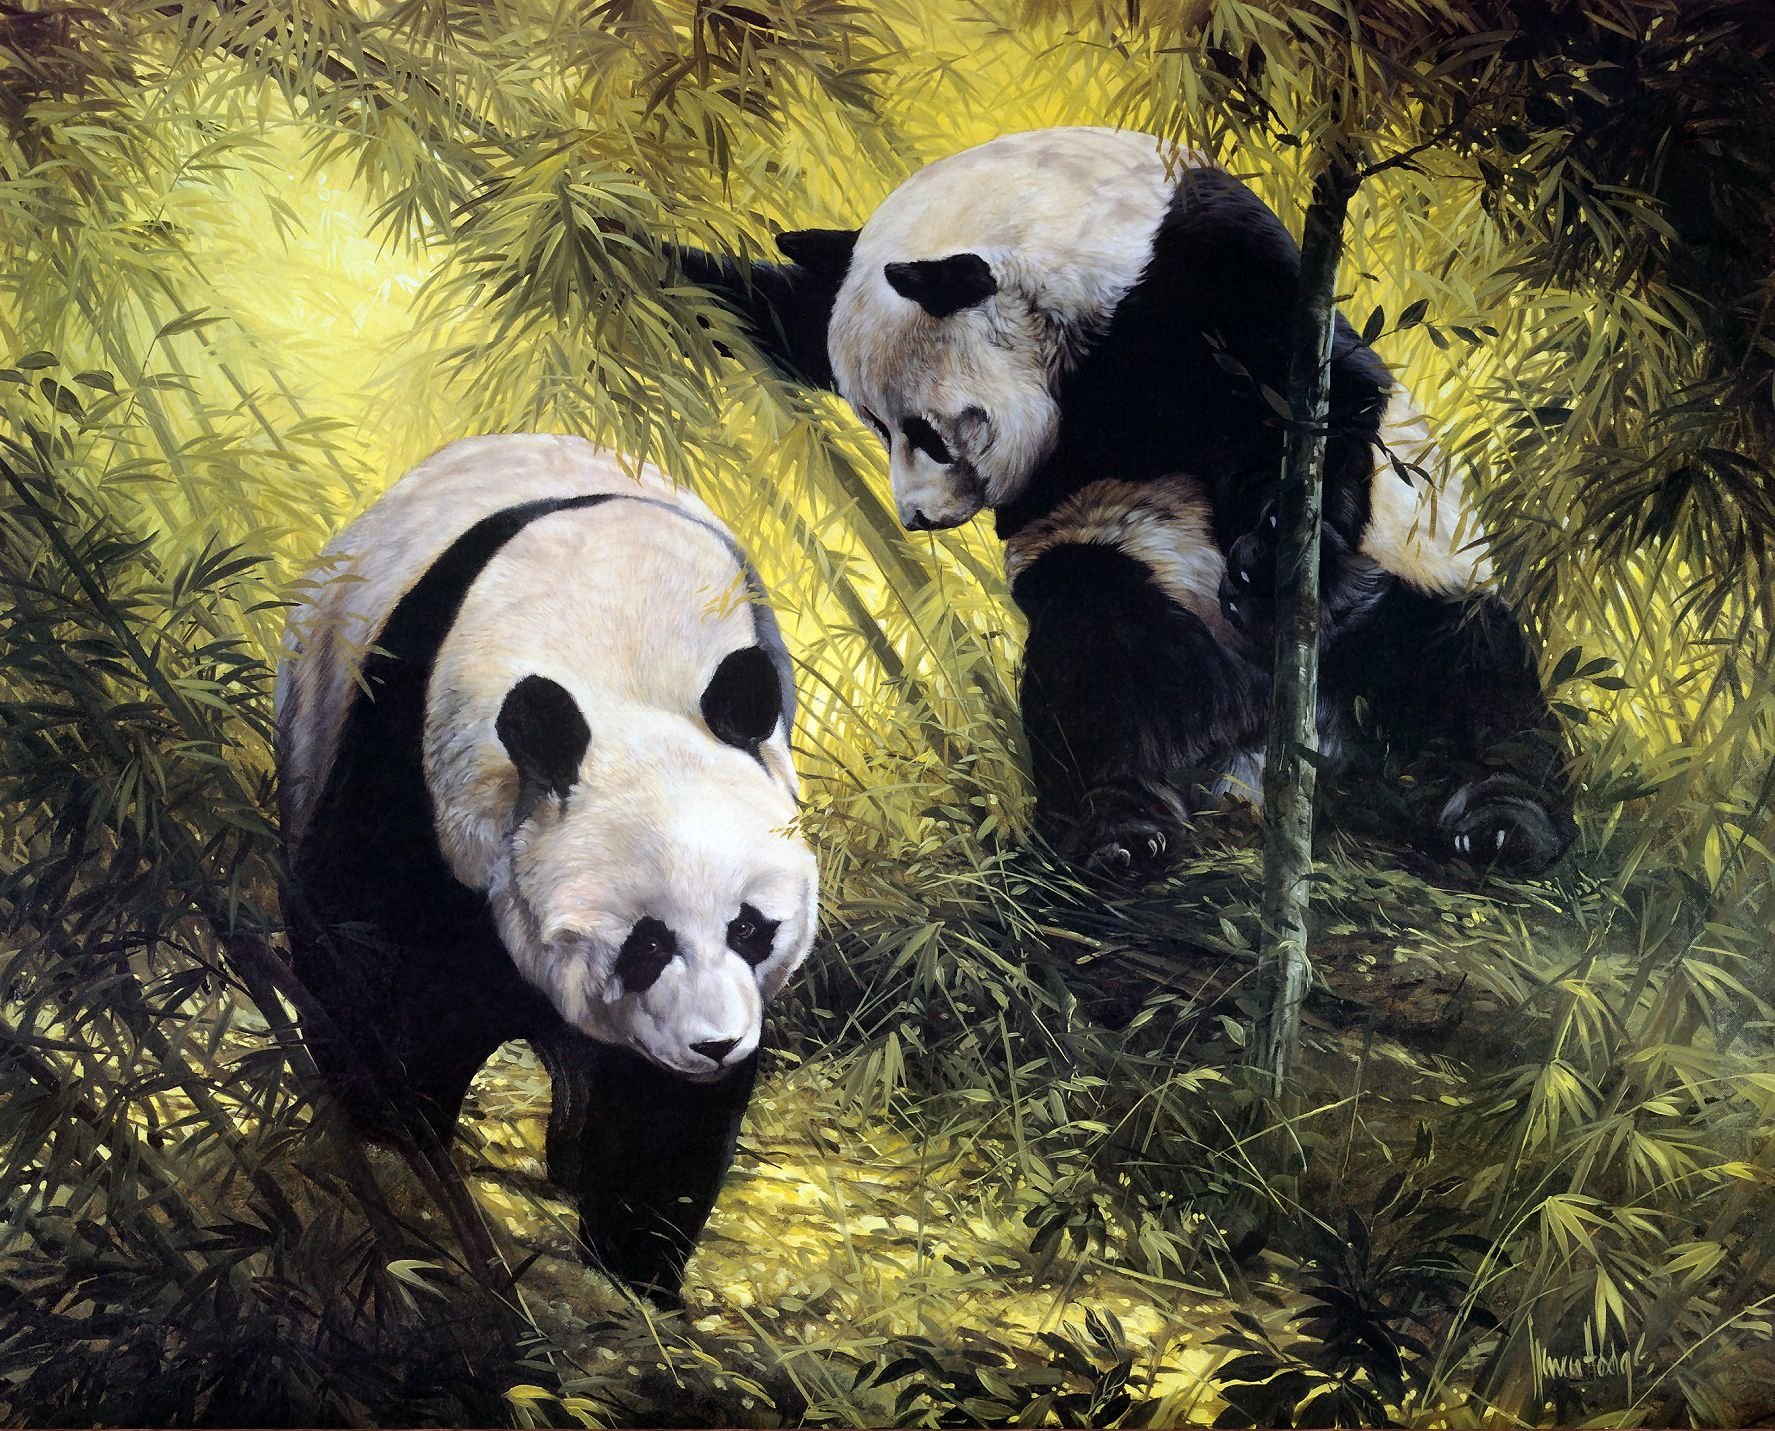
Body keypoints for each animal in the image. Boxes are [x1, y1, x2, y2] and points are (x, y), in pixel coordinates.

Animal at [276, 434, 818, 1299]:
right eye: (647, 942)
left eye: (750, 928)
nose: (714, 1045)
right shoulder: (409, 751)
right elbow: (370, 949)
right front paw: (392, 1123)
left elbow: (658, 1106)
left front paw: (640, 1263)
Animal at [674, 126, 1575, 879]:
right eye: (871, 423)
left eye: (926, 432)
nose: (914, 518)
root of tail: (1260, 736)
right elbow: (773, 309)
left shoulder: (1210, 267)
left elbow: (1316, 402)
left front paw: (1274, 553)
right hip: (1134, 570)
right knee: (1097, 663)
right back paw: (1121, 833)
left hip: (1413, 570)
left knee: (1462, 666)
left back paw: (1499, 820)